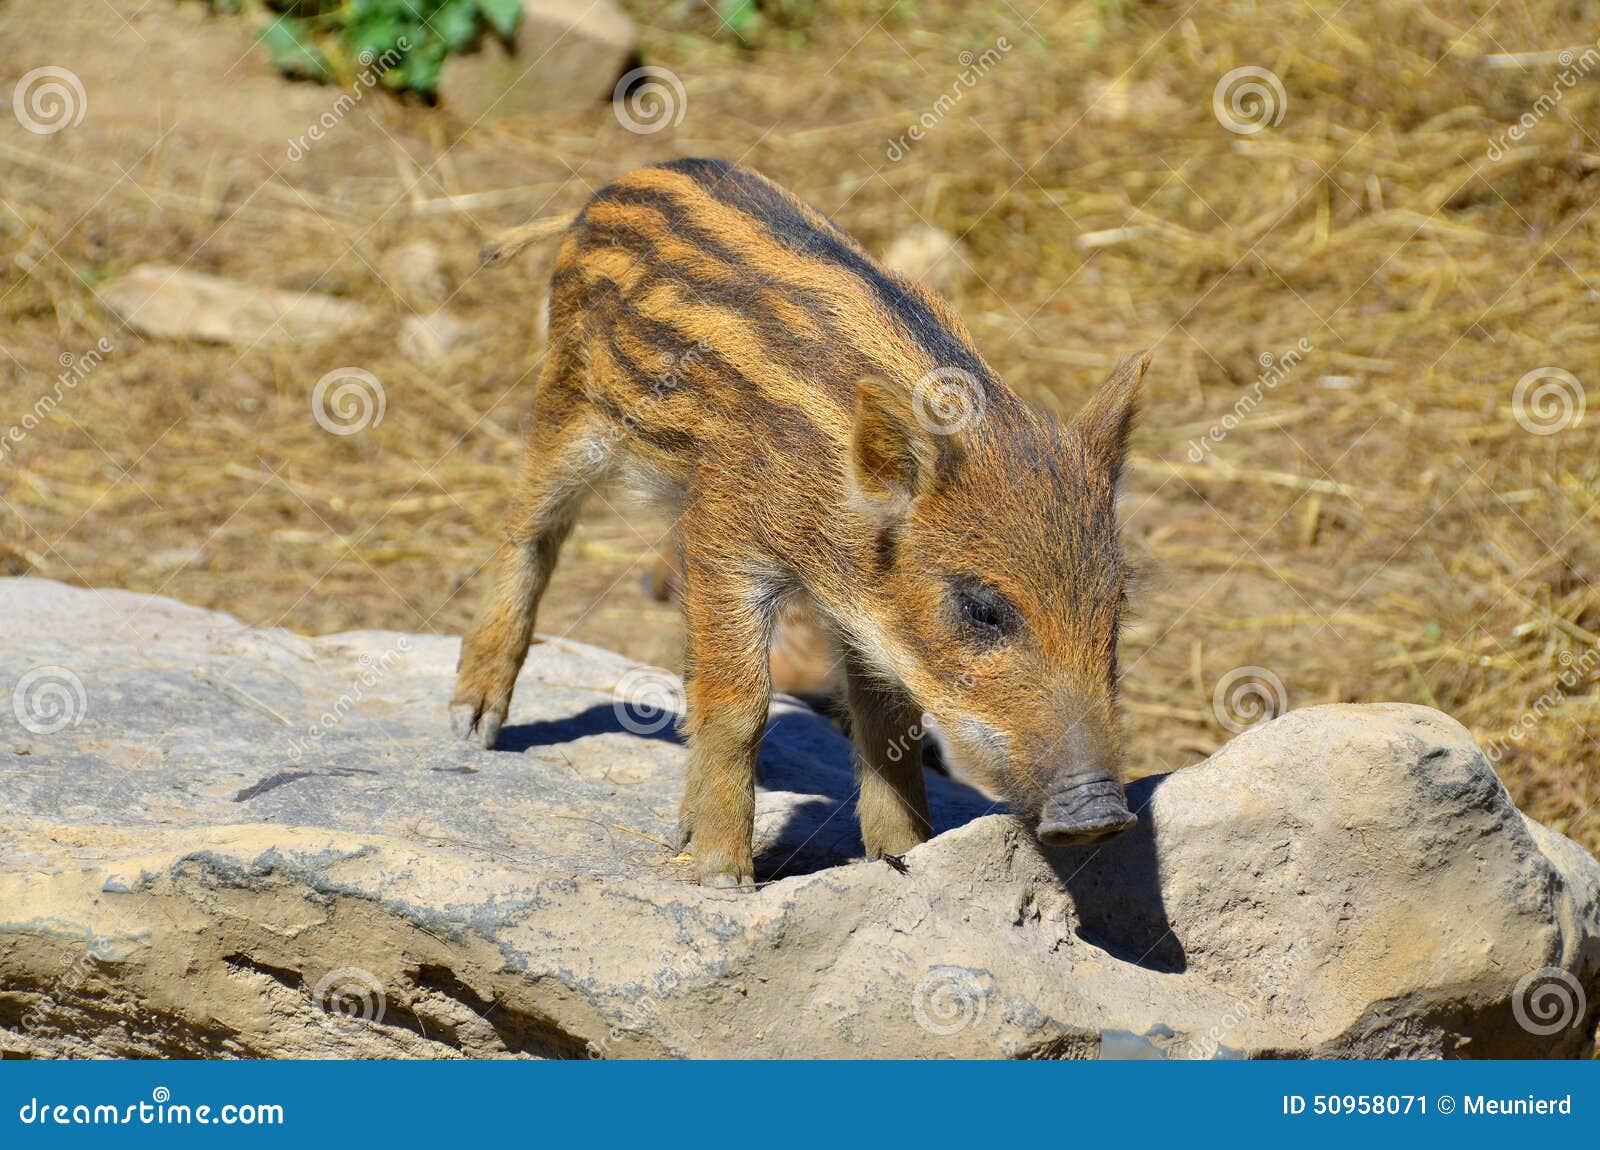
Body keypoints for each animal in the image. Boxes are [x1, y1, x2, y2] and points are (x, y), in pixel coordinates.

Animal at [451, 157, 1147, 887]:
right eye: (982, 610)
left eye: (1118, 606)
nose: (1102, 816)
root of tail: (604, 193)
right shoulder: (730, 537)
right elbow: (742, 706)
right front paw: (722, 876)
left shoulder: (862, 612)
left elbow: (886, 723)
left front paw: (907, 853)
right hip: (567, 403)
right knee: (527, 531)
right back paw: (474, 725)